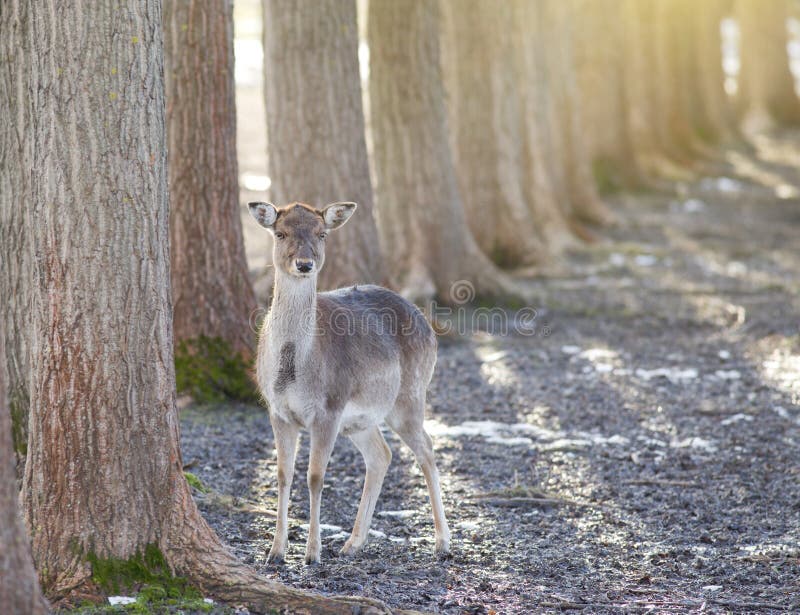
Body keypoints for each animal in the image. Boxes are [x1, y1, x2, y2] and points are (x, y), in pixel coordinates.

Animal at [248, 200, 451, 565]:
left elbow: (315, 477)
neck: (294, 371)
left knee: (427, 450)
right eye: (280, 233)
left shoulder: (328, 408)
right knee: (382, 455)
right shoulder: (277, 410)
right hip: (360, 421)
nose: (304, 264)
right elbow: (283, 475)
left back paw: (443, 542)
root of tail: (427, 323)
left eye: (322, 234)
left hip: (409, 397)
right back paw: (353, 543)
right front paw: (275, 552)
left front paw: (312, 553)